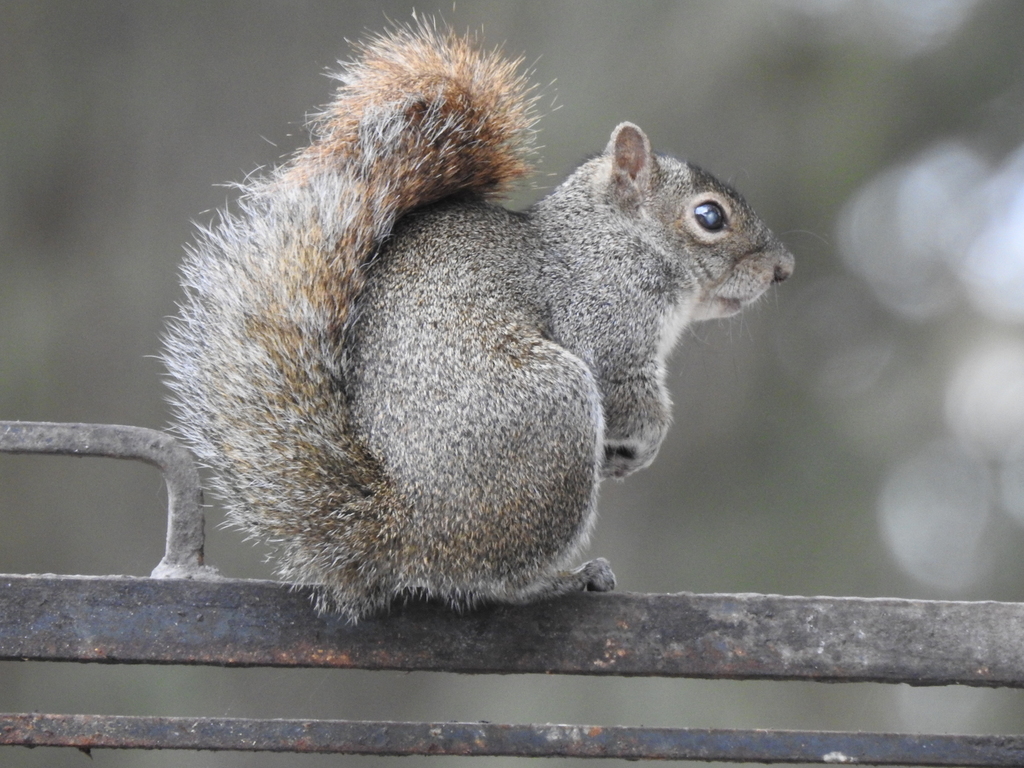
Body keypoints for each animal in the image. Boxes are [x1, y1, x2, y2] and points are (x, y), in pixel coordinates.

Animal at [162, 21, 794, 621]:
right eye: (709, 216)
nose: (783, 268)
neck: (614, 238)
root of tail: (401, 534)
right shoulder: (602, 320)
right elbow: (625, 391)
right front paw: (648, 438)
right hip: (553, 412)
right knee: (493, 582)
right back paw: (560, 580)